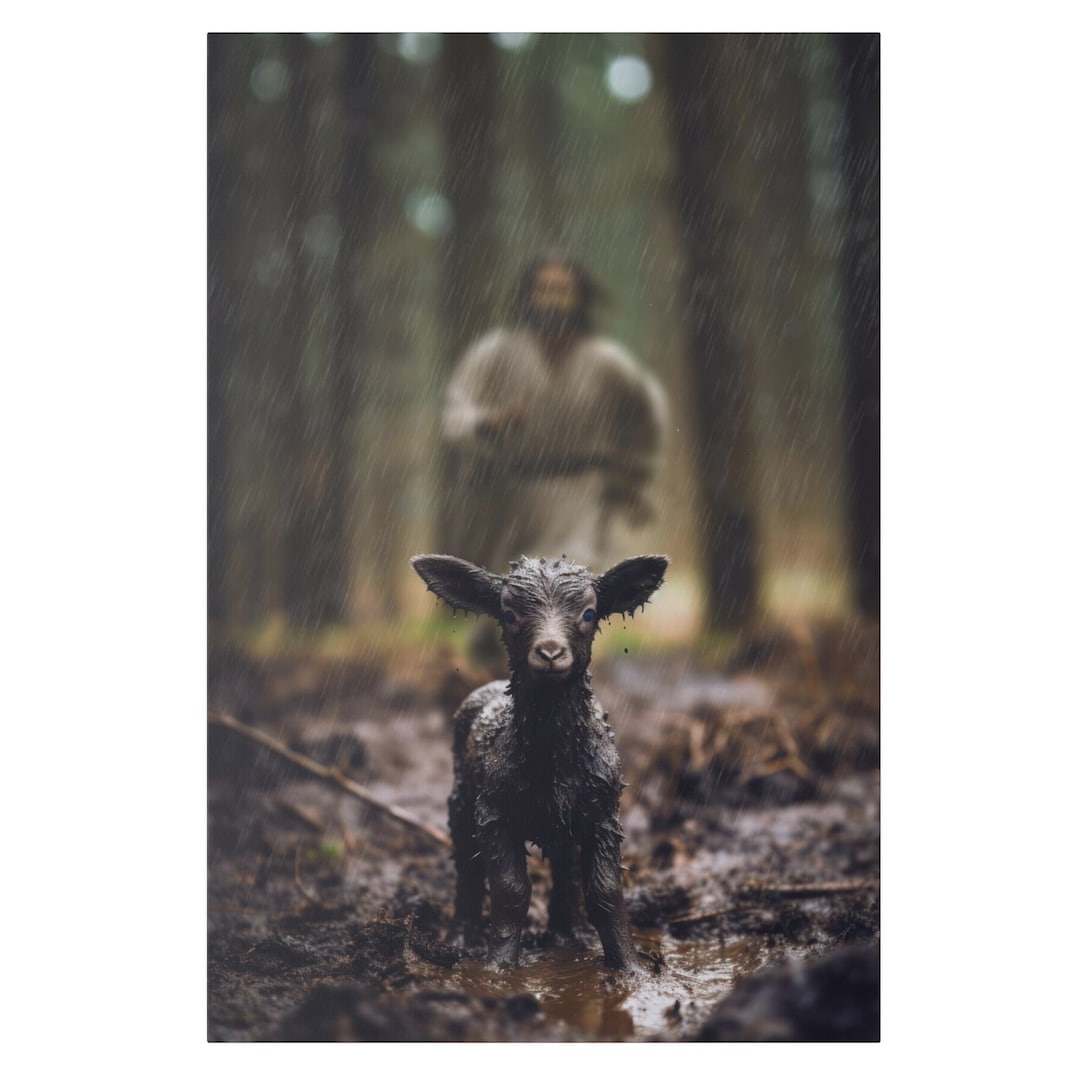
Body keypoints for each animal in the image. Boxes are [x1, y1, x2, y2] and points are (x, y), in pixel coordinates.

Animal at [410, 551, 668, 972]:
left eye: (588, 613)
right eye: (509, 613)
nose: (549, 652)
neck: (551, 755)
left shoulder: (604, 812)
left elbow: (605, 891)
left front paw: (631, 969)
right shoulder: (494, 812)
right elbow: (510, 890)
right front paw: (498, 967)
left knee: (566, 868)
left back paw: (567, 936)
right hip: (461, 801)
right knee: (467, 865)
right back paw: (464, 937)